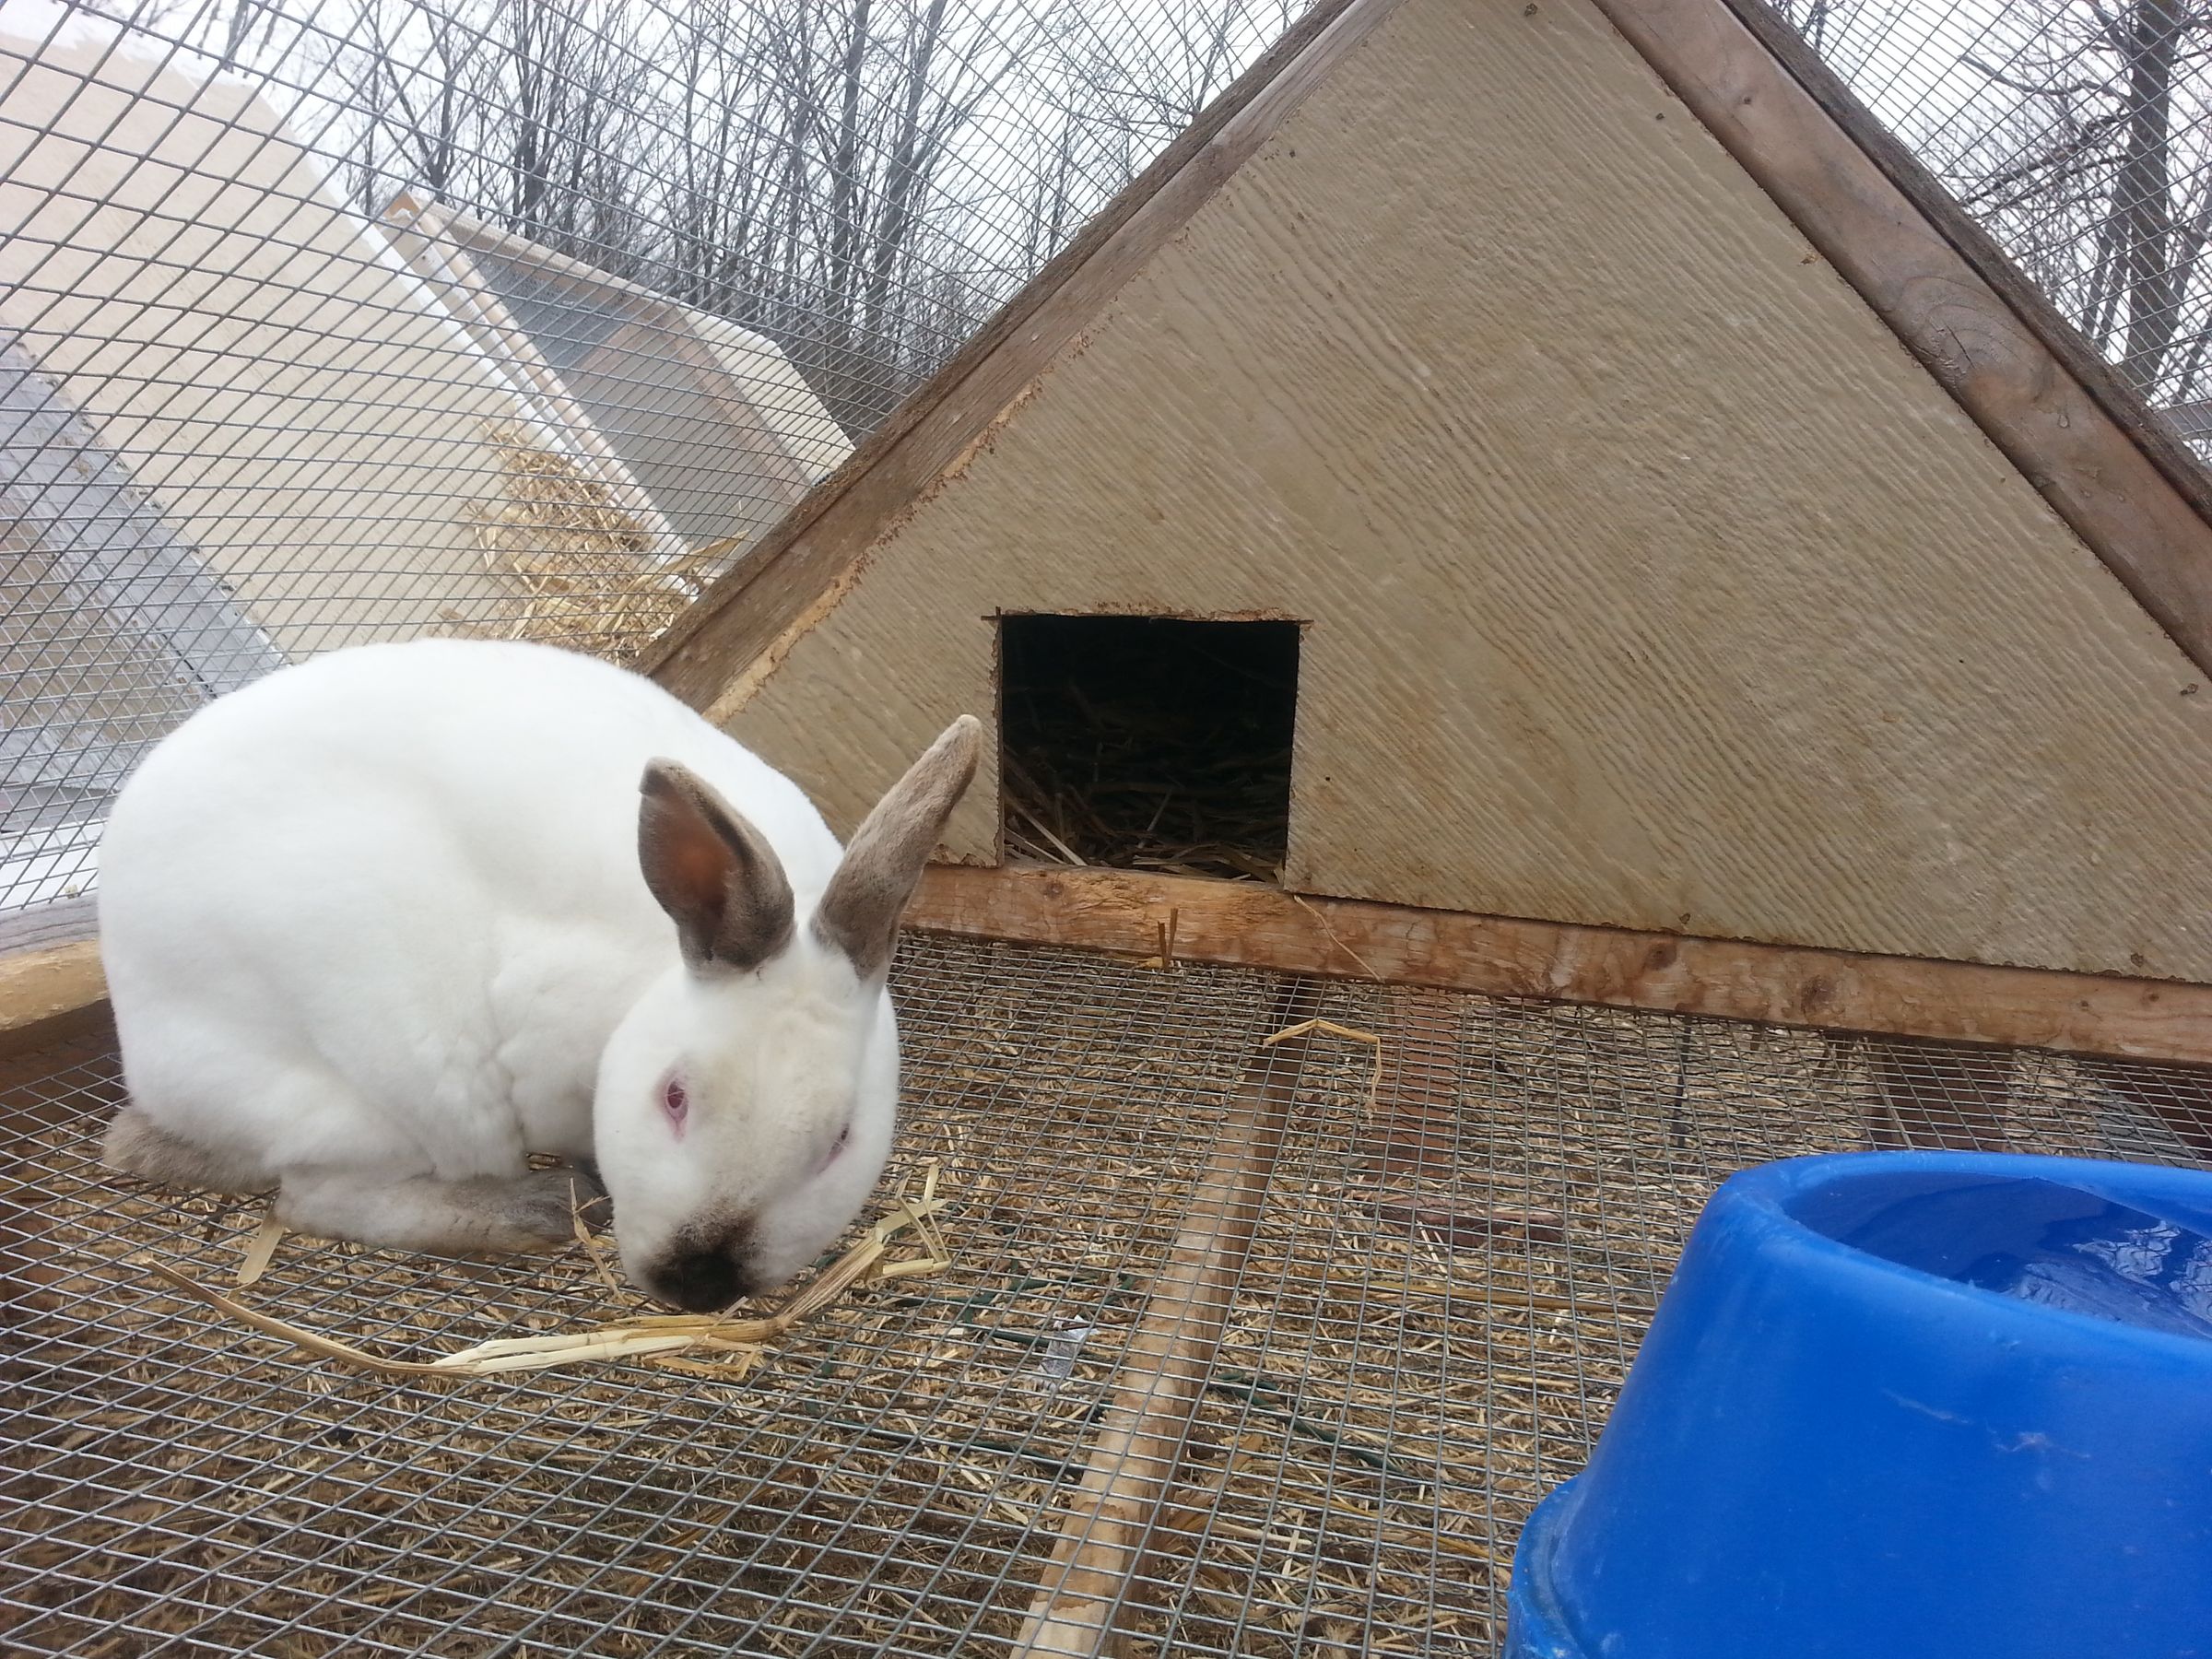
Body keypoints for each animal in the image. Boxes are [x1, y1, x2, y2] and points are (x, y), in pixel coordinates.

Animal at [95, 636, 980, 1312]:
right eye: (673, 1096)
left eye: (840, 1140)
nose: (697, 1284)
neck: (648, 980)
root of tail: (150, 1067)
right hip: (407, 1083)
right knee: (316, 1195)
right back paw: (541, 1209)